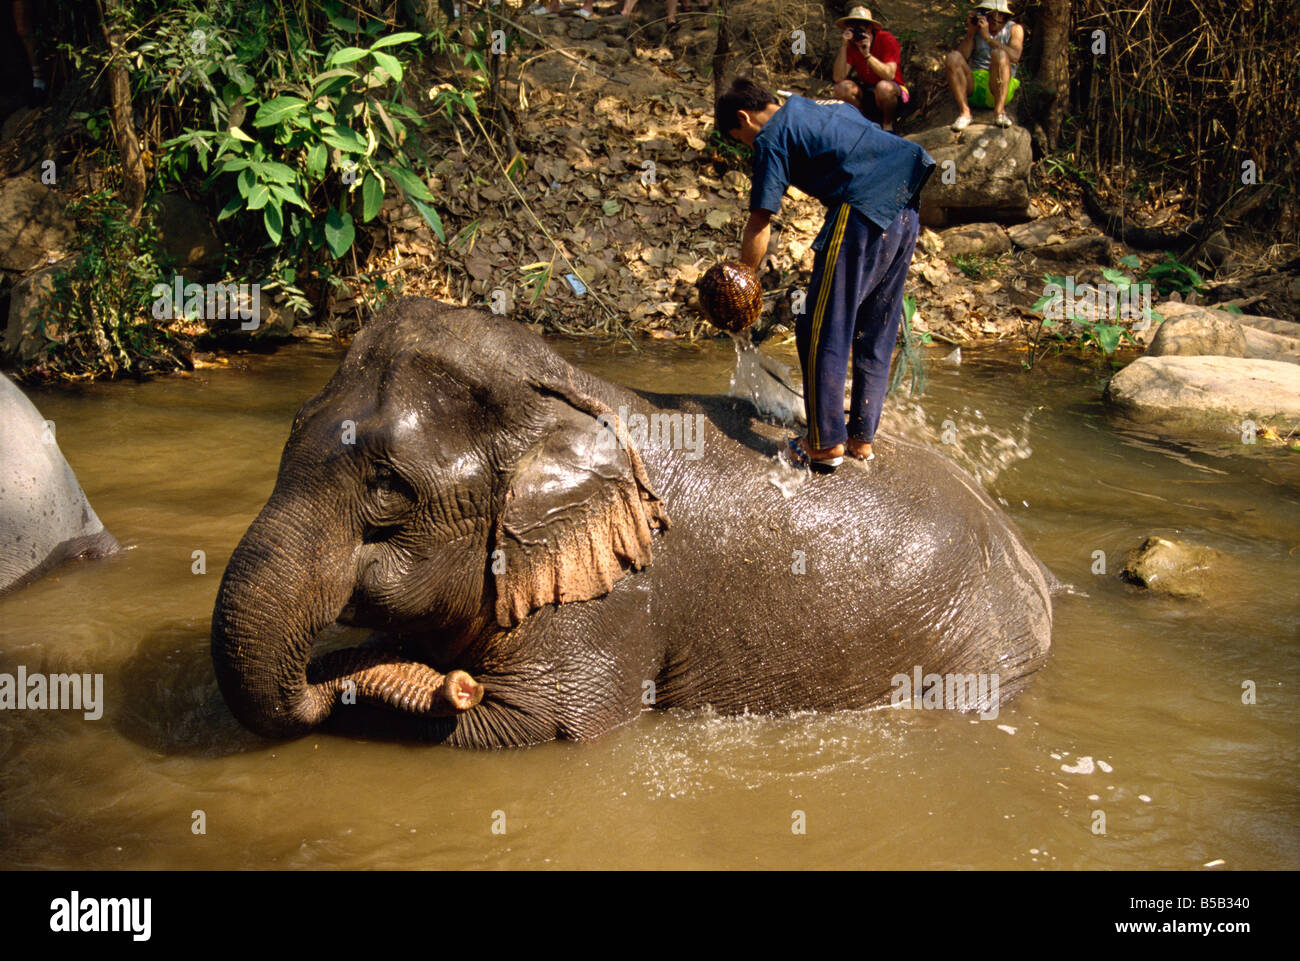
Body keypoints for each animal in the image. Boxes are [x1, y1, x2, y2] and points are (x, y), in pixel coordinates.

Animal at [211, 297, 1055, 746]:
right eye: (291, 428)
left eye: (387, 488)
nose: (459, 682)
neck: (563, 391)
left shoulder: (613, 597)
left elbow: (542, 725)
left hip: (983, 647)